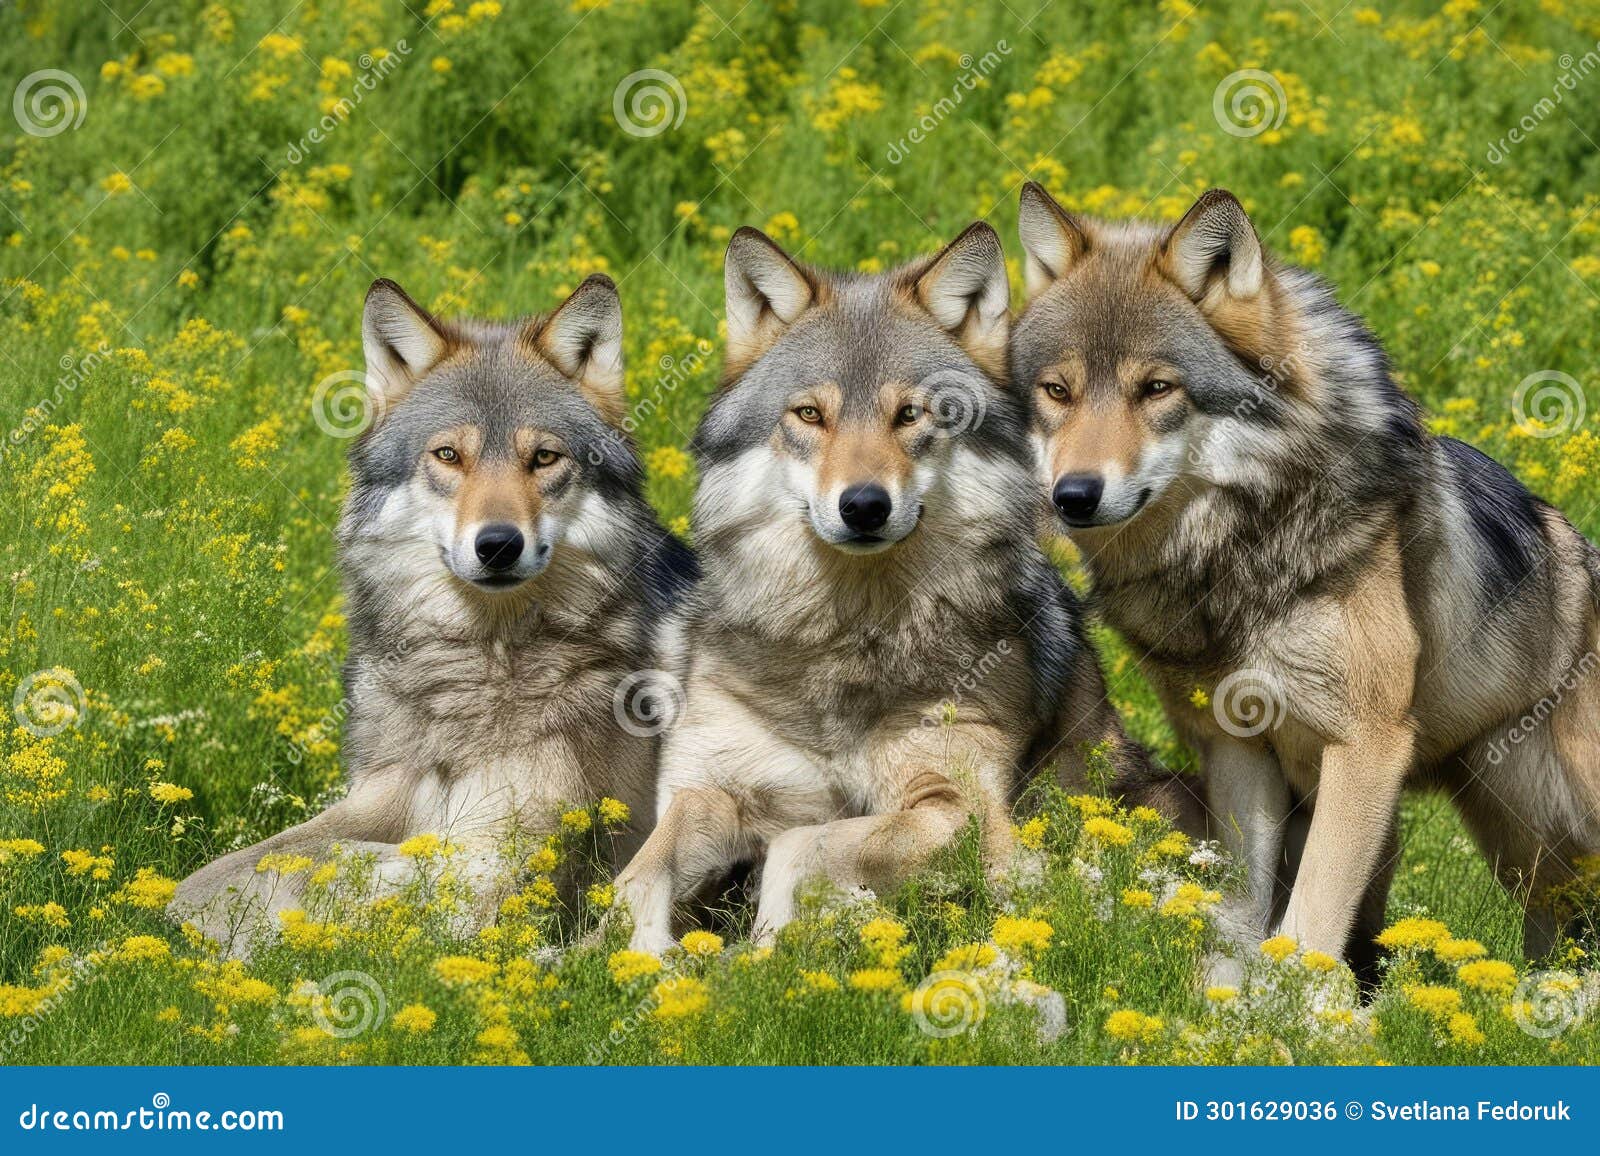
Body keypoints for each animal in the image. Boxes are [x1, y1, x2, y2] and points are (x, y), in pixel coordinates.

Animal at [171, 275, 694, 953]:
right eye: (448, 455)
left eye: (544, 458)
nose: (498, 544)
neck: (469, 670)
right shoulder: (382, 794)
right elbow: (228, 868)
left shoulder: (510, 843)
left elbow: (333, 861)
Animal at [613, 222, 1150, 953]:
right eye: (810, 414)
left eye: (911, 415)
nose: (863, 505)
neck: (845, 638)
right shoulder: (711, 790)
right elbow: (636, 879)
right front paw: (645, 960)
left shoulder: (954, 805)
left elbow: (800, 846)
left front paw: (764, 952)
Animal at [1012, 180, 1600, 966]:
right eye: (1058, 391)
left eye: (1157, 388)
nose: (1073, 494)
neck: (1236, 559)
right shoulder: (1239, 746)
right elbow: (1248, 905)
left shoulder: (1367, 747)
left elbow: (1312, 918)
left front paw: (1306, 997)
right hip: (1520, 846)